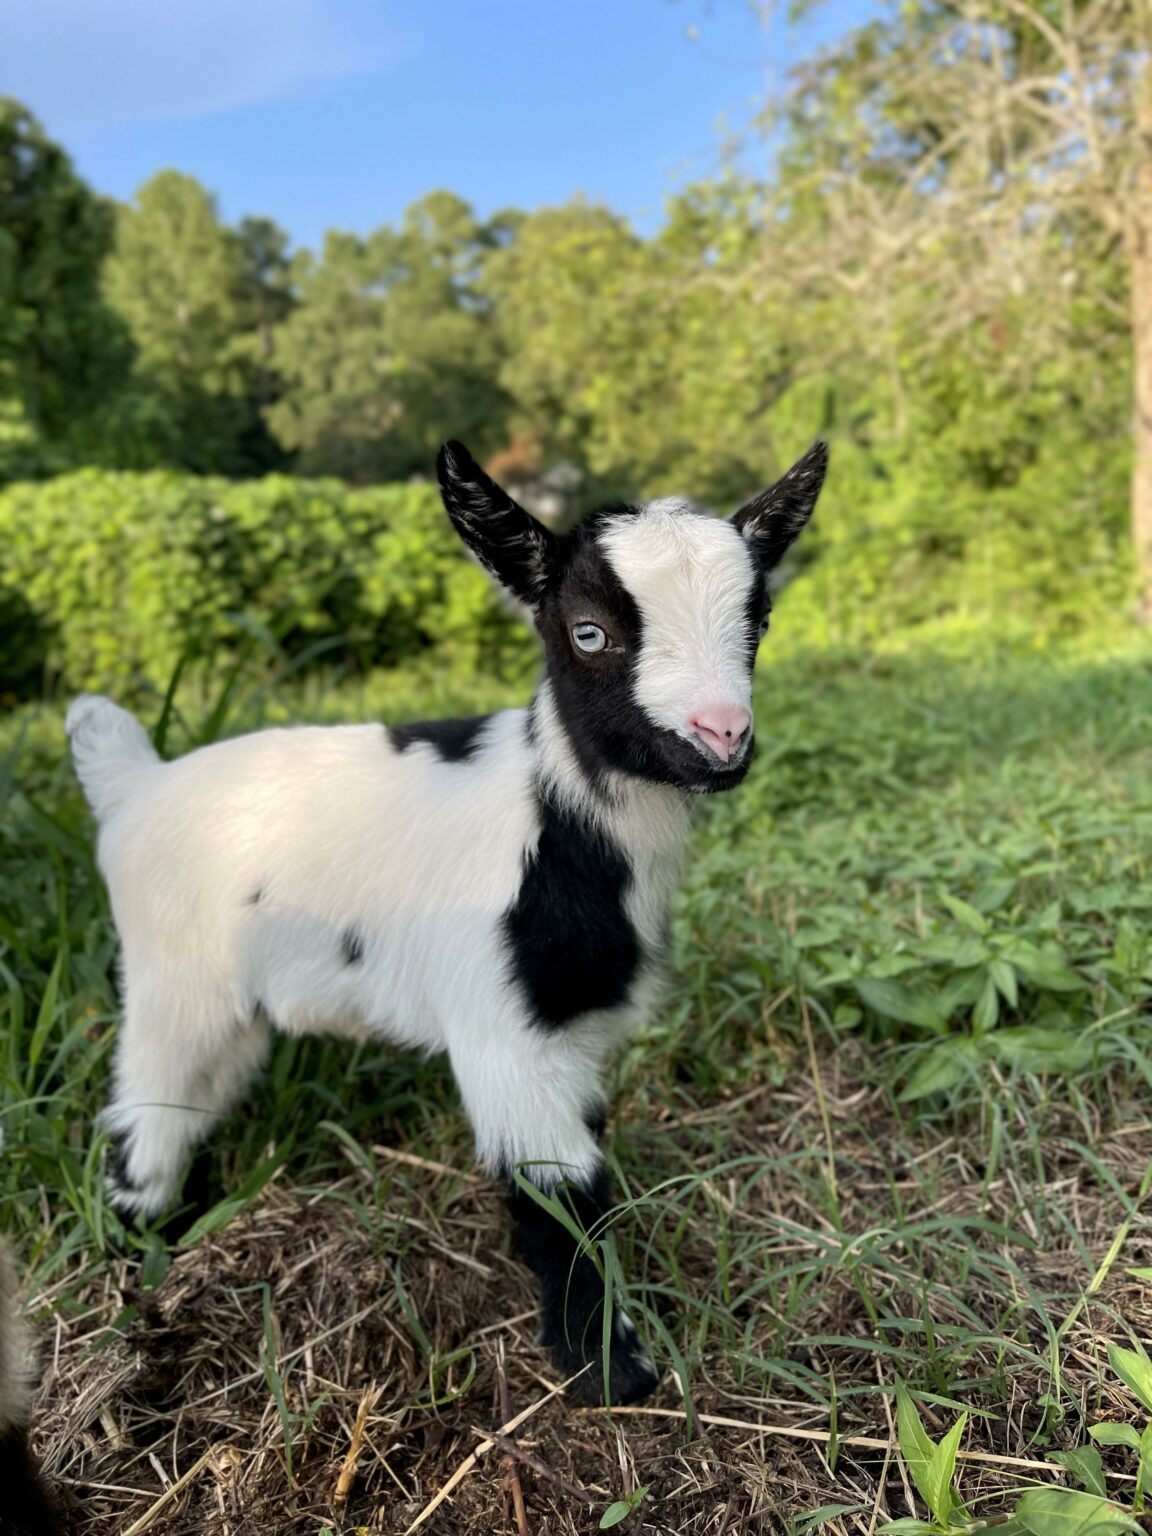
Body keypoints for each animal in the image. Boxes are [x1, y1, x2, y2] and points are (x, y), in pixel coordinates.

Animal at [67, 438, 827, 1405]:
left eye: (758, 621)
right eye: (588, 632)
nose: (721, 735)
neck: (558, 828)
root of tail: (135, 783)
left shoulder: (574, 1031)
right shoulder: (503, 1028)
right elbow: (562, 1193)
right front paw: (608, 1369)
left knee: (200, 1093)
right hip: (174, 973)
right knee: (147, 1108)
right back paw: (145, 1242)